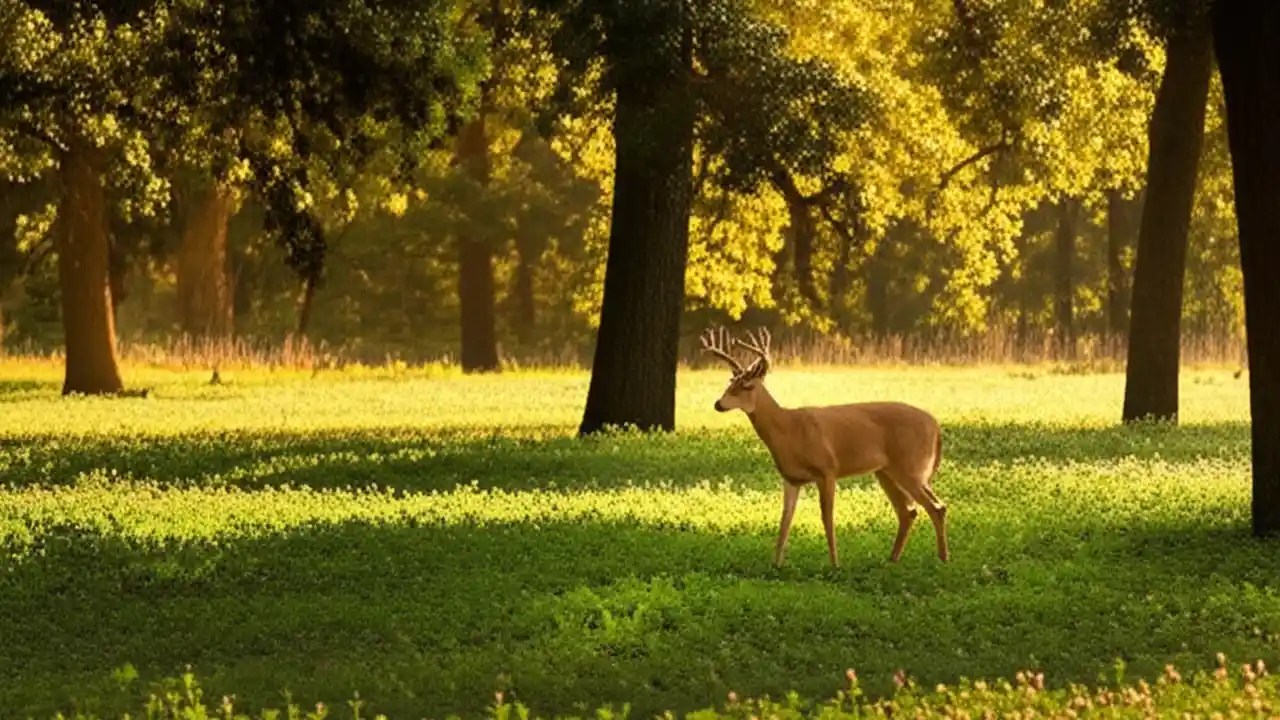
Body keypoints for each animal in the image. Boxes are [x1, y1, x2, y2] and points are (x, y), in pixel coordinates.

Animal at [699, 326, 949, 568]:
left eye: (747, 386)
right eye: (730, 383)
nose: (718, 404)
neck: (788, 430)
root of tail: (936, 426)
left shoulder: (827, 469)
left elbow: (827, 518)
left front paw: (834, 565)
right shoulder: (791, 478)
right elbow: (785, 520)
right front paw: (776, 565)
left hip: (910, 465)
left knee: (936, 507)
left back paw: (942, 559)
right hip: (887, 471)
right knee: (909, 512)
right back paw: (893, 558)